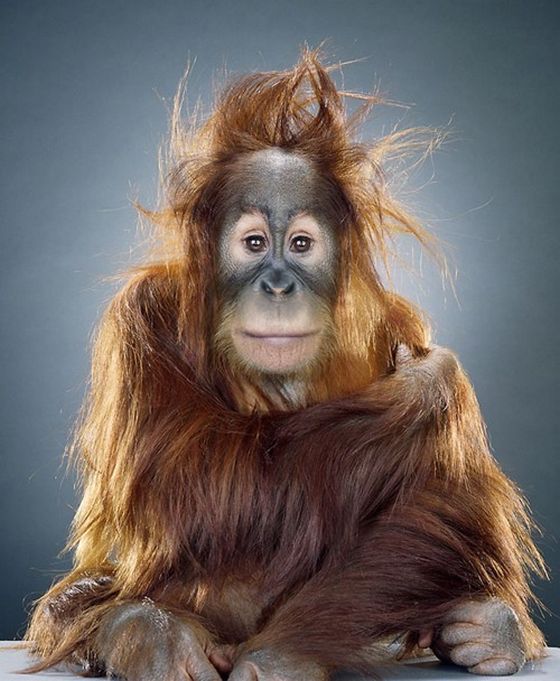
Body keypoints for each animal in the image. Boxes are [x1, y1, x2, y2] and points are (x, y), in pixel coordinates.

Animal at [22, 46, 547, 680]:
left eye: (300, 244)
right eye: (253, 244)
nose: (276, 284)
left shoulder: (399, 322)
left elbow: (440, 496)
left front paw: (282, 656)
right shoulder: (139, 320)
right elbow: (206, 480)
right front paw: (430, 383)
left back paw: (489, 630)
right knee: (81, 599)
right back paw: (149, 636)